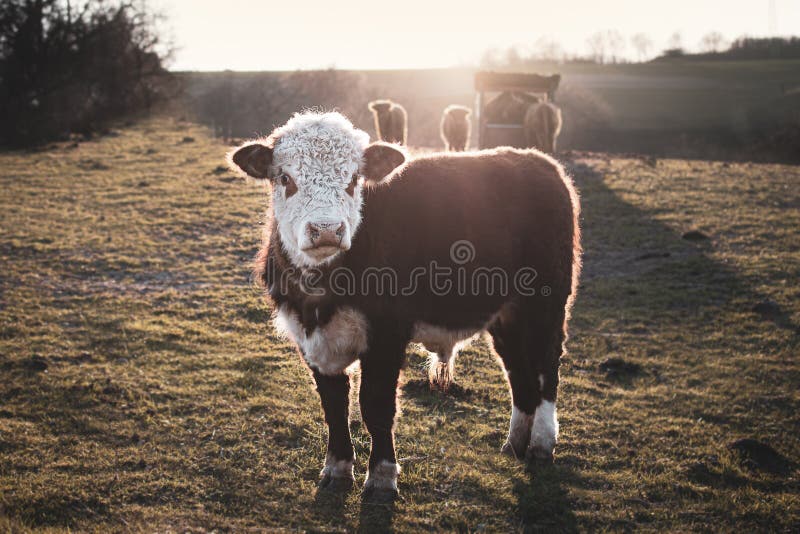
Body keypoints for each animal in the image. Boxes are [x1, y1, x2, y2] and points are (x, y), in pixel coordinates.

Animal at [226, 111, 581, 501]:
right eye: (285, 178)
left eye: (354, 178)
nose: (327, 229)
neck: (321, 294)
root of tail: (538, 161)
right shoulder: (311, 340)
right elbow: (334, 406)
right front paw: (337, 470)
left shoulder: (386, 334)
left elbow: (376, 404)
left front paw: (382, 477)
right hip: (507, 317)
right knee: (518, 372)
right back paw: (515, 443)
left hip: (547, 302)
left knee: (547, 367)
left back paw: (542, 444)